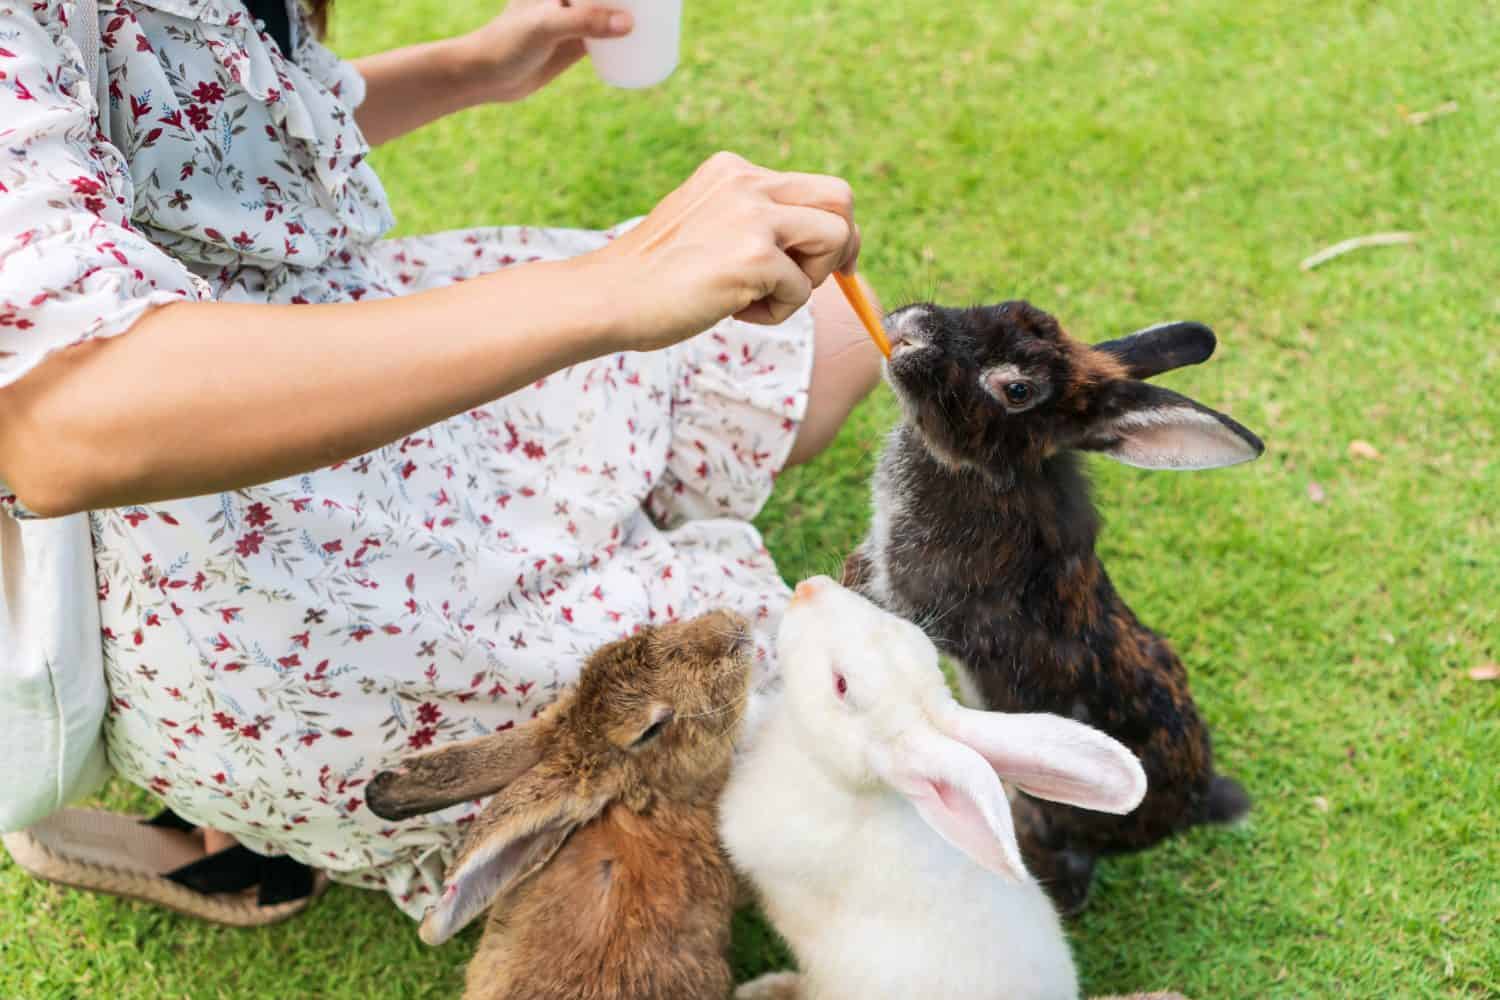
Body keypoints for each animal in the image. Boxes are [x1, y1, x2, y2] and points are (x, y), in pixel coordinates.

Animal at [842, 300, 1263, 914]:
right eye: (1007, 307)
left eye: (1017, 389)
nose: (913, 327)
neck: (987, 473)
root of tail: (1192, 807)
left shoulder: (918, 601)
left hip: (1054, 820)